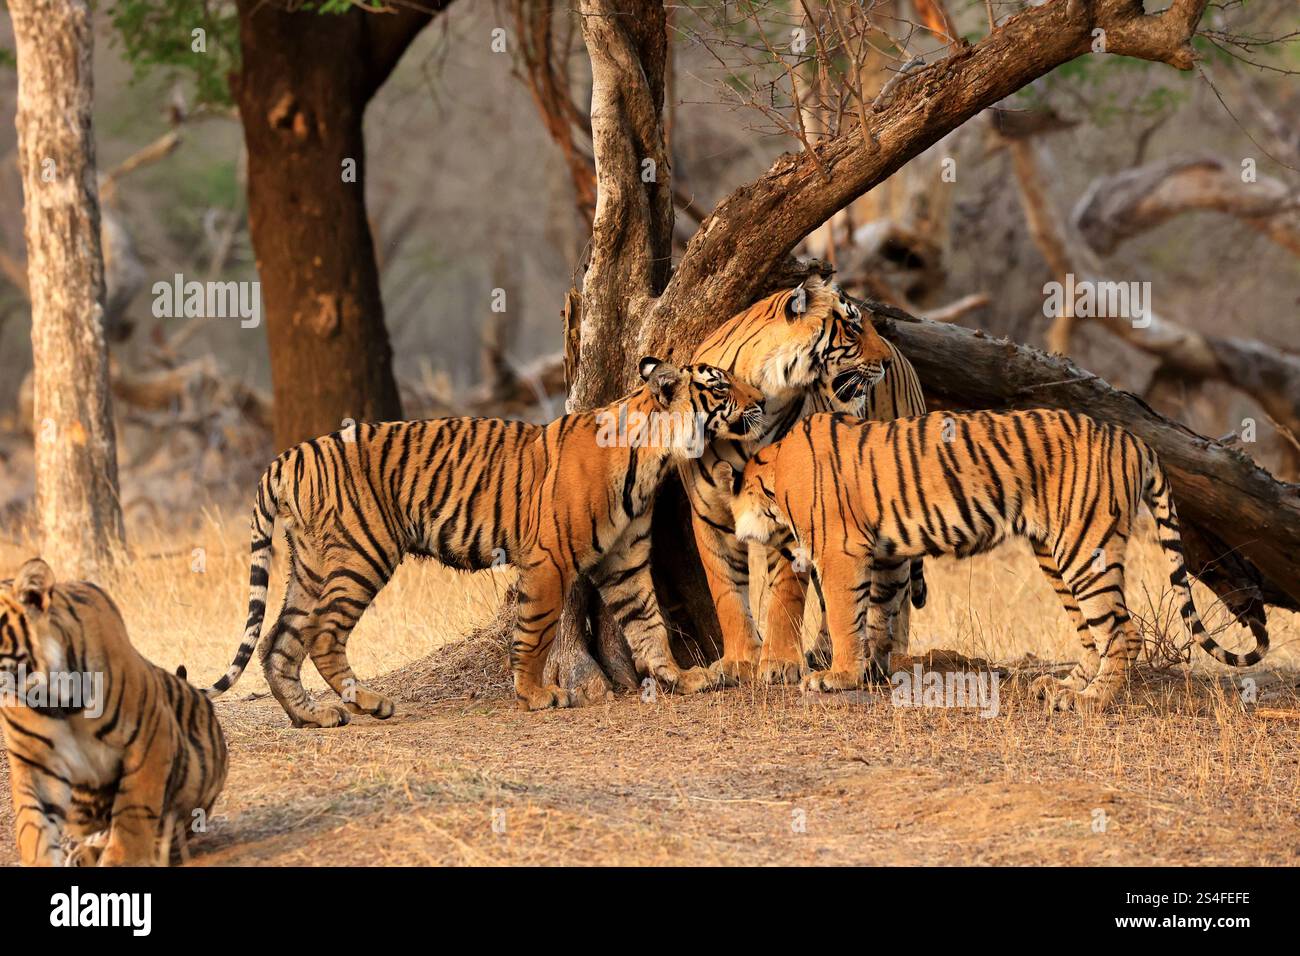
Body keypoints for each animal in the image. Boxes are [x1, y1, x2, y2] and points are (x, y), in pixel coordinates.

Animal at [0, 559, 227, 866]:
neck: (53, 699)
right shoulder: (35, 763)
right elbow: (32, 826)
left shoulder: (150, 734)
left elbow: (134, 809)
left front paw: (123, 857)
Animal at [203, 358, 766, 727]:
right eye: (720, 385)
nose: (760, 401)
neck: (652, 455)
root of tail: (287, 456)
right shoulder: (548, 560)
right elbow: (535, 631)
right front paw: (535, 694)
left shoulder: (624, 559)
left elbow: (647, 622)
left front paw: (679, 678)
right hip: (363, 554)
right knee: (322, 634)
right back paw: (369, 704)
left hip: (312, 564)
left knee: (278, 642)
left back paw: (312, 716)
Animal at [683, 274, 927, 687]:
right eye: (853, 327)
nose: (884, 361)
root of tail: (908, 361)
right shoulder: (708, 513)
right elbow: (727, 590)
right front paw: (739, 662)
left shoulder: (788, 515)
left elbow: (785, 593)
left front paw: (779, 663)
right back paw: (829, 651)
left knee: (895, 583)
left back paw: (887, 653)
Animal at [729, 409, 1269, 711]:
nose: (738, 527)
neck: (774, 473)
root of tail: (1134, 439)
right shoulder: (884, 553)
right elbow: (877, 614)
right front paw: (869, 671)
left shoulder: (841, 551)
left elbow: (846, 617)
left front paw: (836, 677)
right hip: (1055, 555)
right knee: (1092, 630)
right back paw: (1062, 686)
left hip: (1084, 548)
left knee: (1121, 630)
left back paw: (1089, 700)